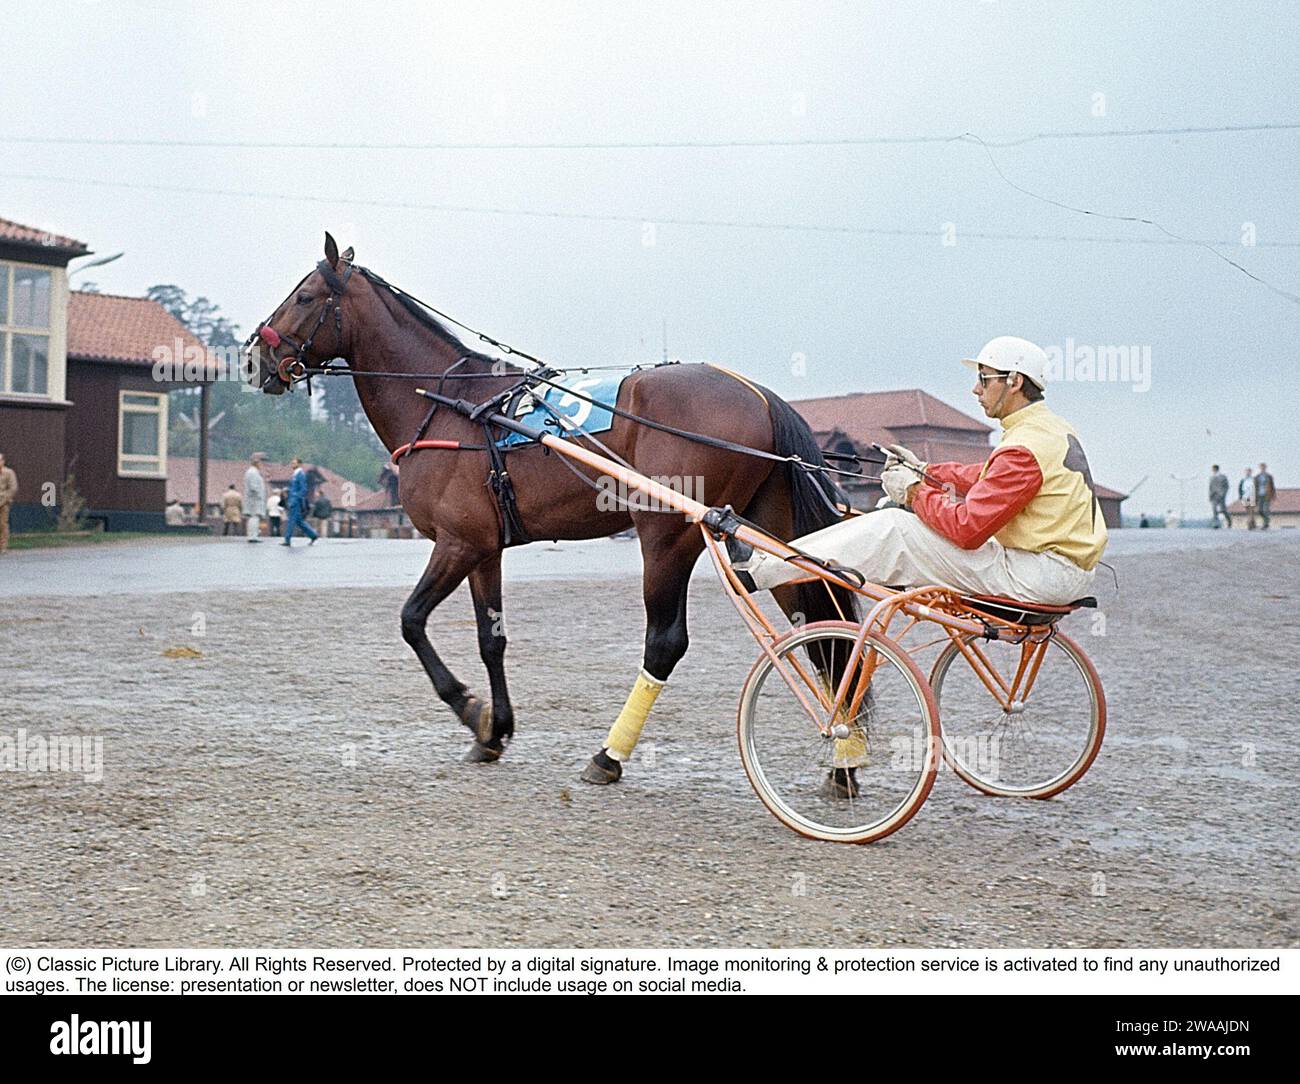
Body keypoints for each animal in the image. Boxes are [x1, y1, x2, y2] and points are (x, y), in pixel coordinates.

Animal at [248, 234, 856, 784]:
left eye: (304, 297)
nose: (256, 356)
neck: (455, 407)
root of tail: (757, 393)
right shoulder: (484, 547)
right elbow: (490, 638)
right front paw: (493, 731)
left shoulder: (457, 542)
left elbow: (411, 620)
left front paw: (470, 708)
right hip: (772, 533)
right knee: (819, 623)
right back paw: (845, 762)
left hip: (669, 535)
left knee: (666, 643)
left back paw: (609, 756)